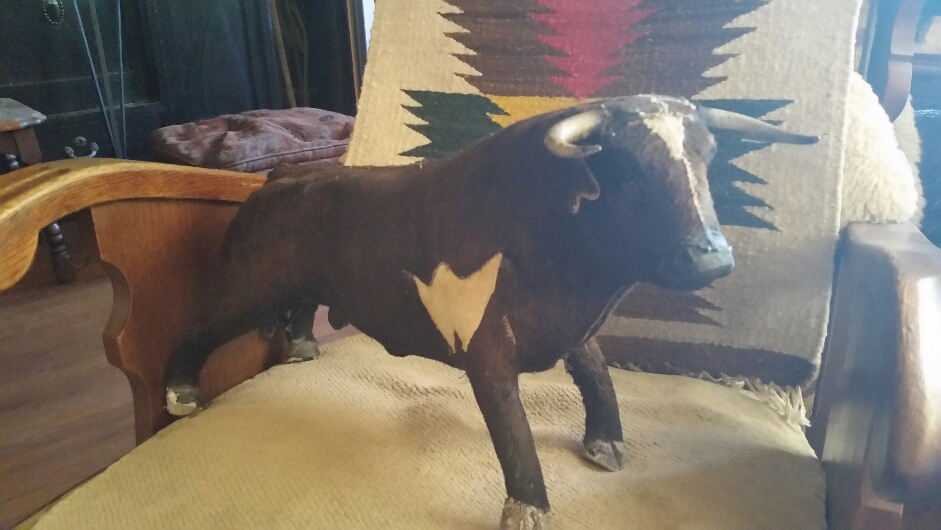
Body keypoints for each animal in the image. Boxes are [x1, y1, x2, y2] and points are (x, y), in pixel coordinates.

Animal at [164, 95, 818, 530]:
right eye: (631, 177)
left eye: (707, 161)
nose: (711, 257)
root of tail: (282, 176)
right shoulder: (486, 350)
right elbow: (512, 428)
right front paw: (529, 507)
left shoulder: (572, 327)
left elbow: (597, 372)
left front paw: (605, 442)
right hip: (248, 290)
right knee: (197, 330)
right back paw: (180, 394)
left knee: (299, 307)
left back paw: (302, 347)